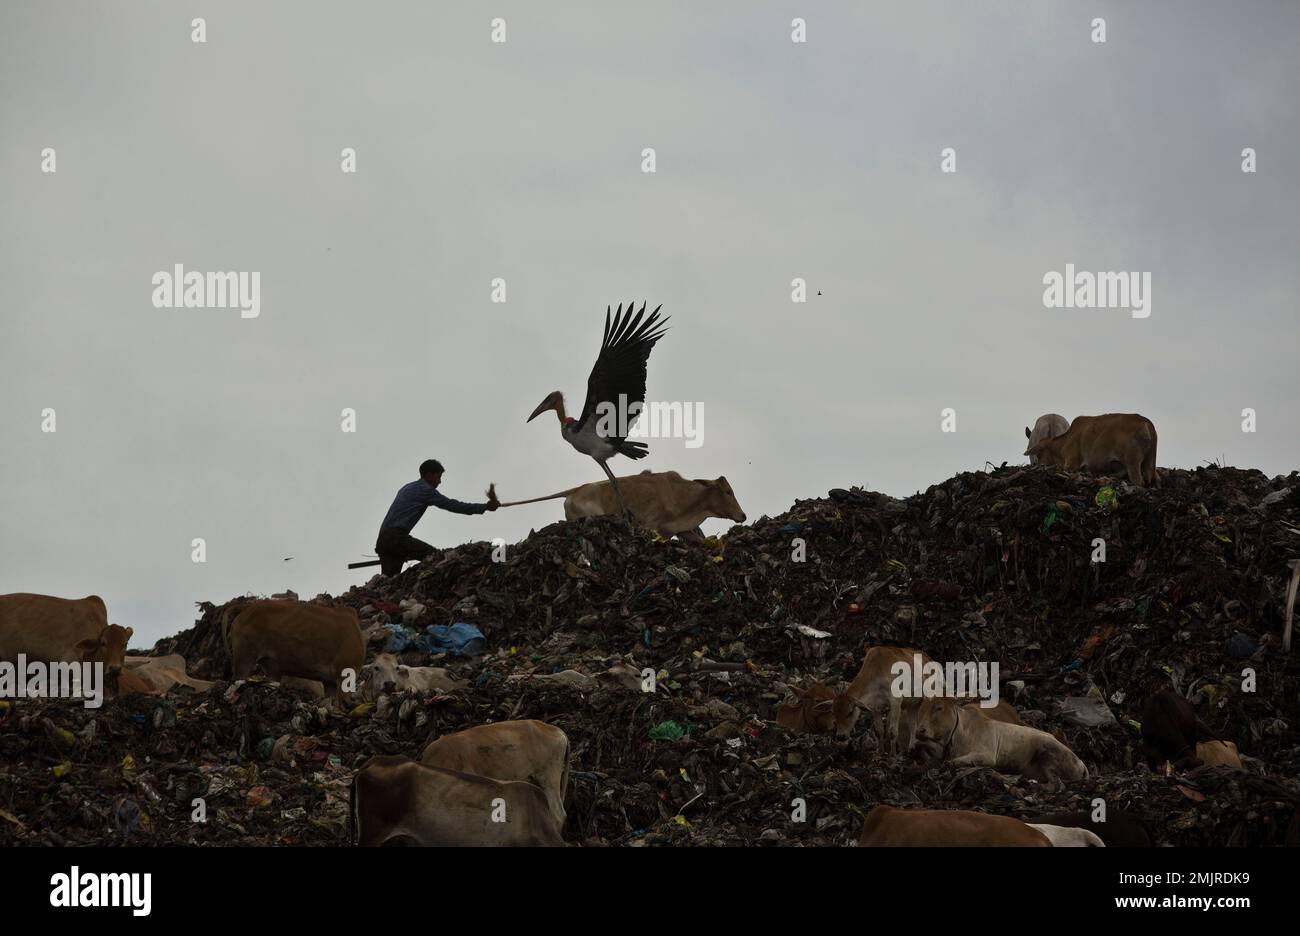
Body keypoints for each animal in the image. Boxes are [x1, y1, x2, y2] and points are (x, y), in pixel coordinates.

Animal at [226, 600, 363, 701]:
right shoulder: (345, 673)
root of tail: (247, 607)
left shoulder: (330, 683)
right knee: (236, 683)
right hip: (245, 656)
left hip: (268, 665)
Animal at [914, 697, 1088, 786]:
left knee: (1056, 784)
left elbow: (953, 762)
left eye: (939, 708)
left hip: (1048, 753)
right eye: (921, 708)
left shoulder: (987, 755)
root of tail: (1081, 763)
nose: (920, 731)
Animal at [1024, 413, 1158, 488]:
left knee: (1139, 482)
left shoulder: (1071, 463)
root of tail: (1146, 422)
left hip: (1133, 462)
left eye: (1039, 454)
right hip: (1150, 462)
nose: (1038, 465)